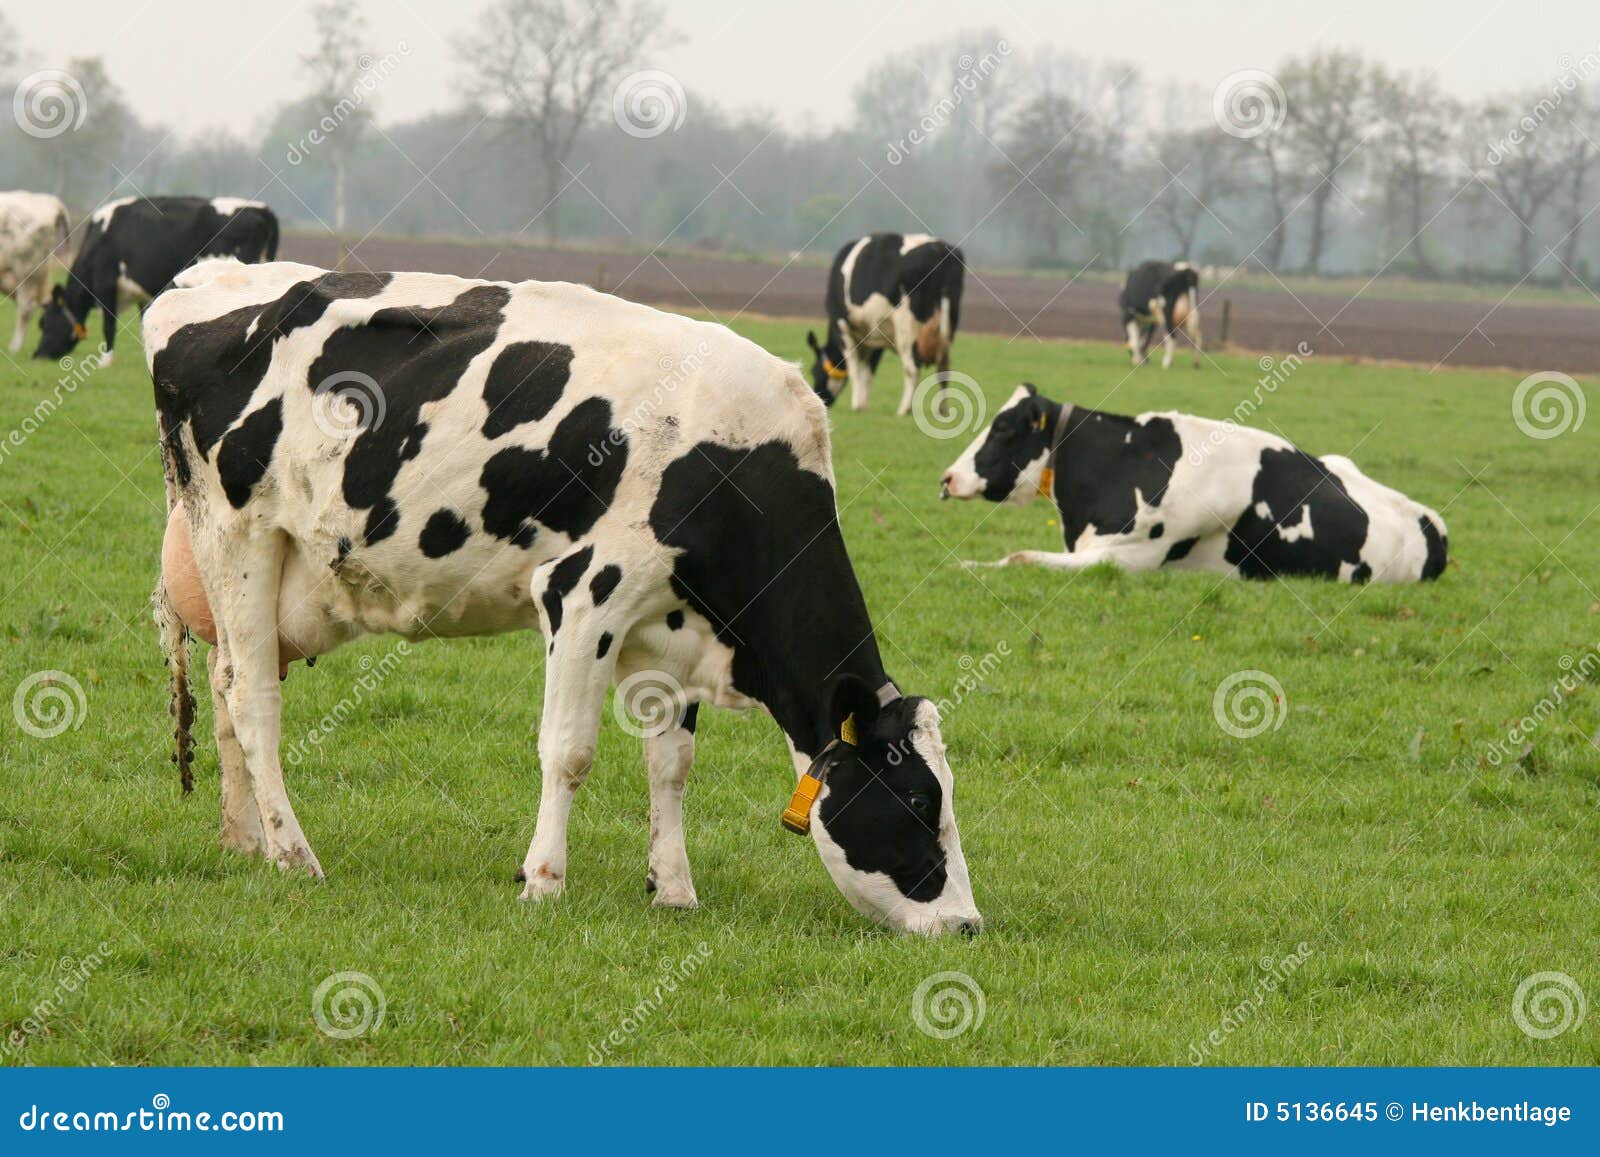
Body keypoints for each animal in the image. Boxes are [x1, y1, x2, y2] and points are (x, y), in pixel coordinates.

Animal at [36, 196, 278, 367]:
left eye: (45, 323)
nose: (37, 355)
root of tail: (261, 209)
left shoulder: (105, 283)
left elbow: (108, 324)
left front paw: (106, 360)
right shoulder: (142, 296)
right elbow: (145, 321)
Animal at [147, 257, 980, 936]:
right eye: (915, 800)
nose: (967, 923)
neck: (735, 455)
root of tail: (200, 283)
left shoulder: (670, 626)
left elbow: (671, 762)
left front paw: (674, 888)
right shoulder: (585, 591)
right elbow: (570, 750)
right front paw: (543, 880)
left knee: (223, 689)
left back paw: (243, 838)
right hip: (239, 533)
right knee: (252, 697)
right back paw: (294, 853)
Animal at [805, 233, 964, 416]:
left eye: (814, 371)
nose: (822, 401)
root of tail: (938, 249)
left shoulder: (842, 327)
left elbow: (855, 369)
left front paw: (857, 405)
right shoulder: (876, 335)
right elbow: (869, 372)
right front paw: (864, 404)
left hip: (906, 328)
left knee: (912, 368)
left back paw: (904, 409)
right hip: (948, 326)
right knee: (943, 368)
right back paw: (943, 410)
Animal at [940, 384, 1448, 583]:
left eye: (1004, 427)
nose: (947, 478)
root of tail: (1432, 522)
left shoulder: (1128, 558)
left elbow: (1021, 556)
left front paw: (966, 566)